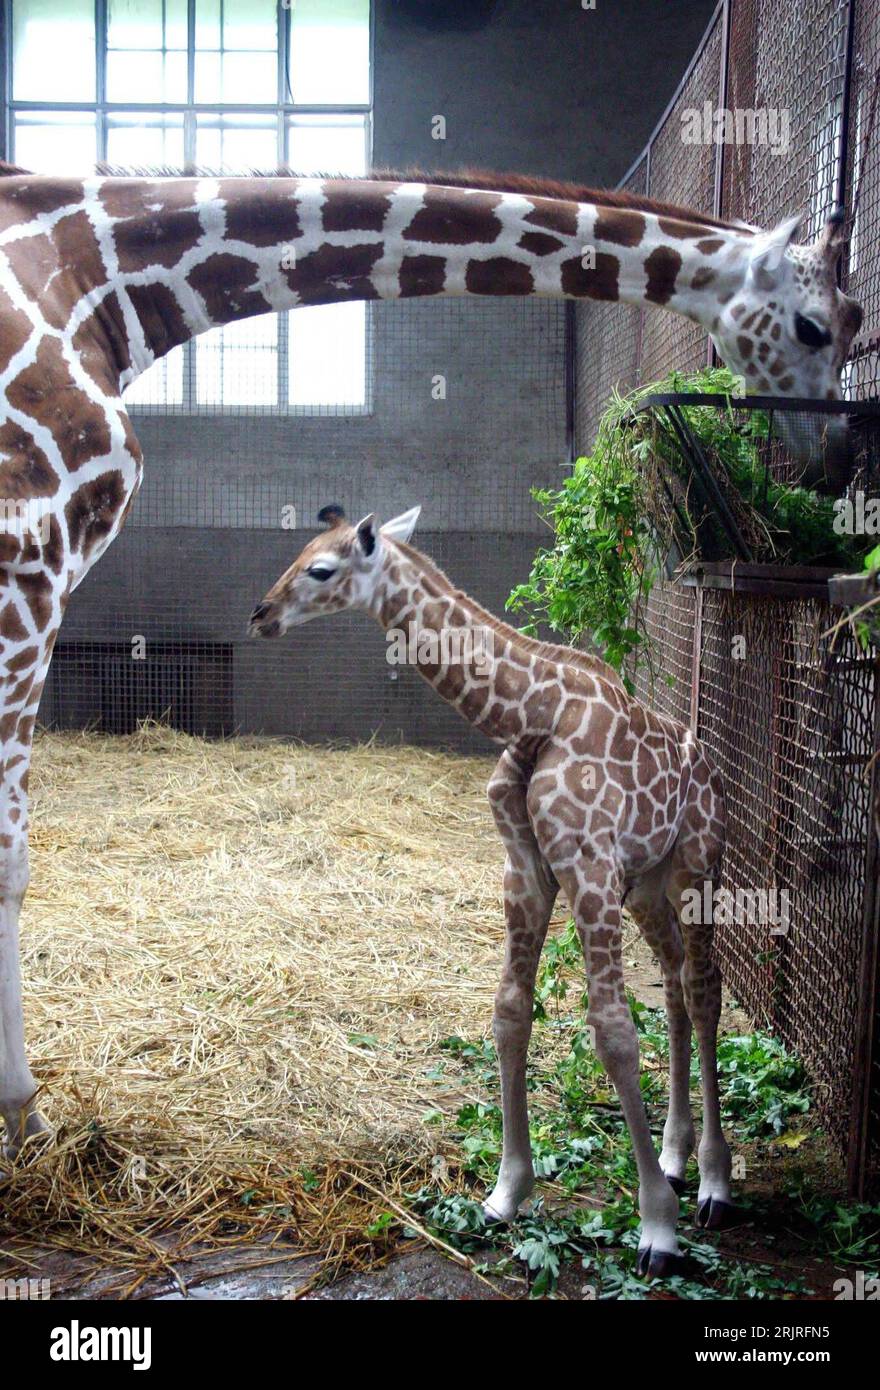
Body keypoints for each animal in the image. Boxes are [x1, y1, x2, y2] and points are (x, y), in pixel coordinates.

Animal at [0, 163, 862, 1167]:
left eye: (849, 326)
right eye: (819, 323)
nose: (832, 461)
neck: (103, 276)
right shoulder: (31, 563)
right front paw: (27, 1110)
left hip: (684, 866)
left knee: (696, 979)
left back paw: (700, 1161)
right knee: (687, 977)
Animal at [249, 504, 730, 1276]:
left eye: (321, 569)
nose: (261, 613)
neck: (535, 716)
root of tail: (713, 766)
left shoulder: (588, 867)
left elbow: (615, 1035)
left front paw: (657, 1228)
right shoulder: (529, 870)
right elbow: (509, 1012)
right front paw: (506, 1193)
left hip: (695, 868)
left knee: (705, 988)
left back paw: (713, 1183)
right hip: (646, 889)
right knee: (678, 988)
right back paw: (675, 1155)